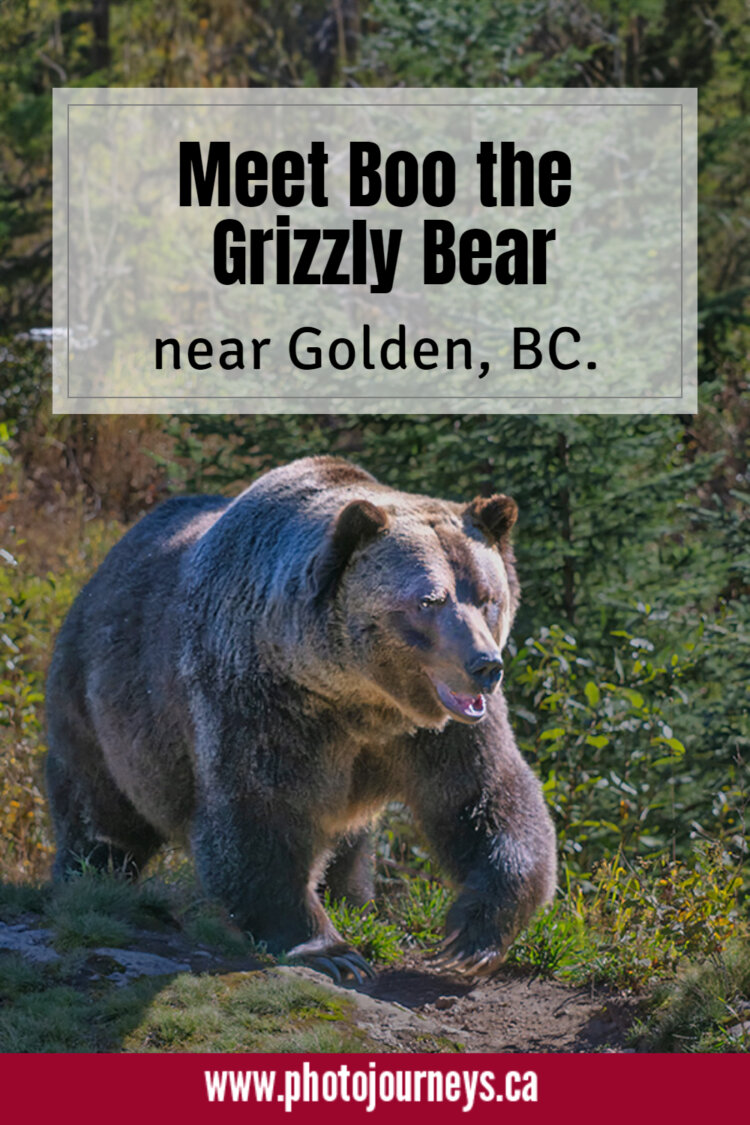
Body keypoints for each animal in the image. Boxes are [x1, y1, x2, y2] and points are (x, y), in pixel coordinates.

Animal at [45, 455, 556, 981]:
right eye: (429, 601)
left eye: (488, 596)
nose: (485, 665)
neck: (358, 696)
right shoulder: (259, 700)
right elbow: (260, 814)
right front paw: (331, 951)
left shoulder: (438, 731)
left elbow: (483, 797)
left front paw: (470, 935)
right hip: (101, 696)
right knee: (98, 803)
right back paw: (89, 877)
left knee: (350, 845)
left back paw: (353, 897)